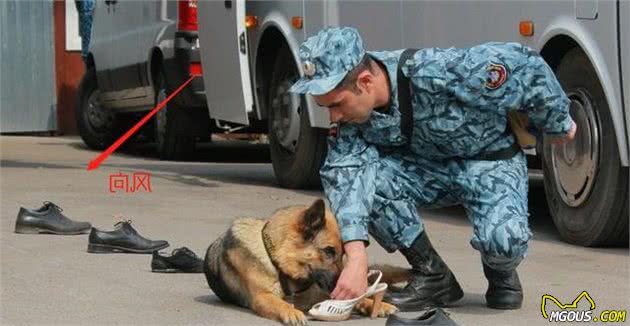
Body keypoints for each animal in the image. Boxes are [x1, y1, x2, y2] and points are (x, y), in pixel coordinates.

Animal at [204, 200, 400, 324]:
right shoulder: (261, 297)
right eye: (328, 251)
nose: (342, 286)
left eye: (343, 253)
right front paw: (291, 311)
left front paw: (372, 303)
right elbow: (279, 303)